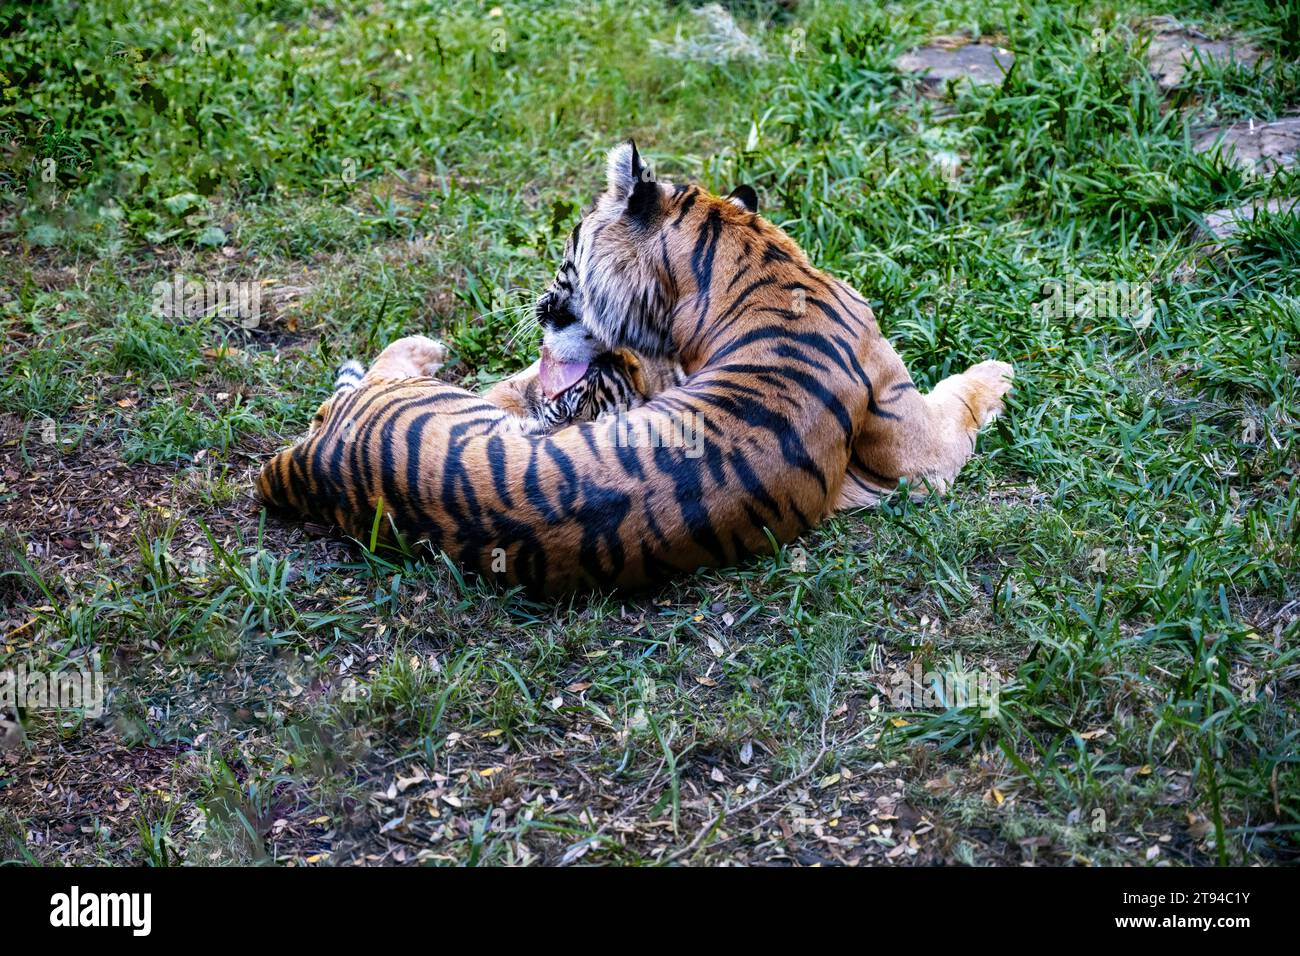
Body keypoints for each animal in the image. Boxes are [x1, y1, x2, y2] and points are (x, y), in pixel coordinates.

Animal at [257, 141, 1013, 594]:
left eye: (565, 253)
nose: (540, 307)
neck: (754, 260)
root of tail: (311, 461)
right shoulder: (917, 440)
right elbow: (962, 398)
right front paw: (1001, 371)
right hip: (420, 401)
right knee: (395, 371)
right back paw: (425, 347)